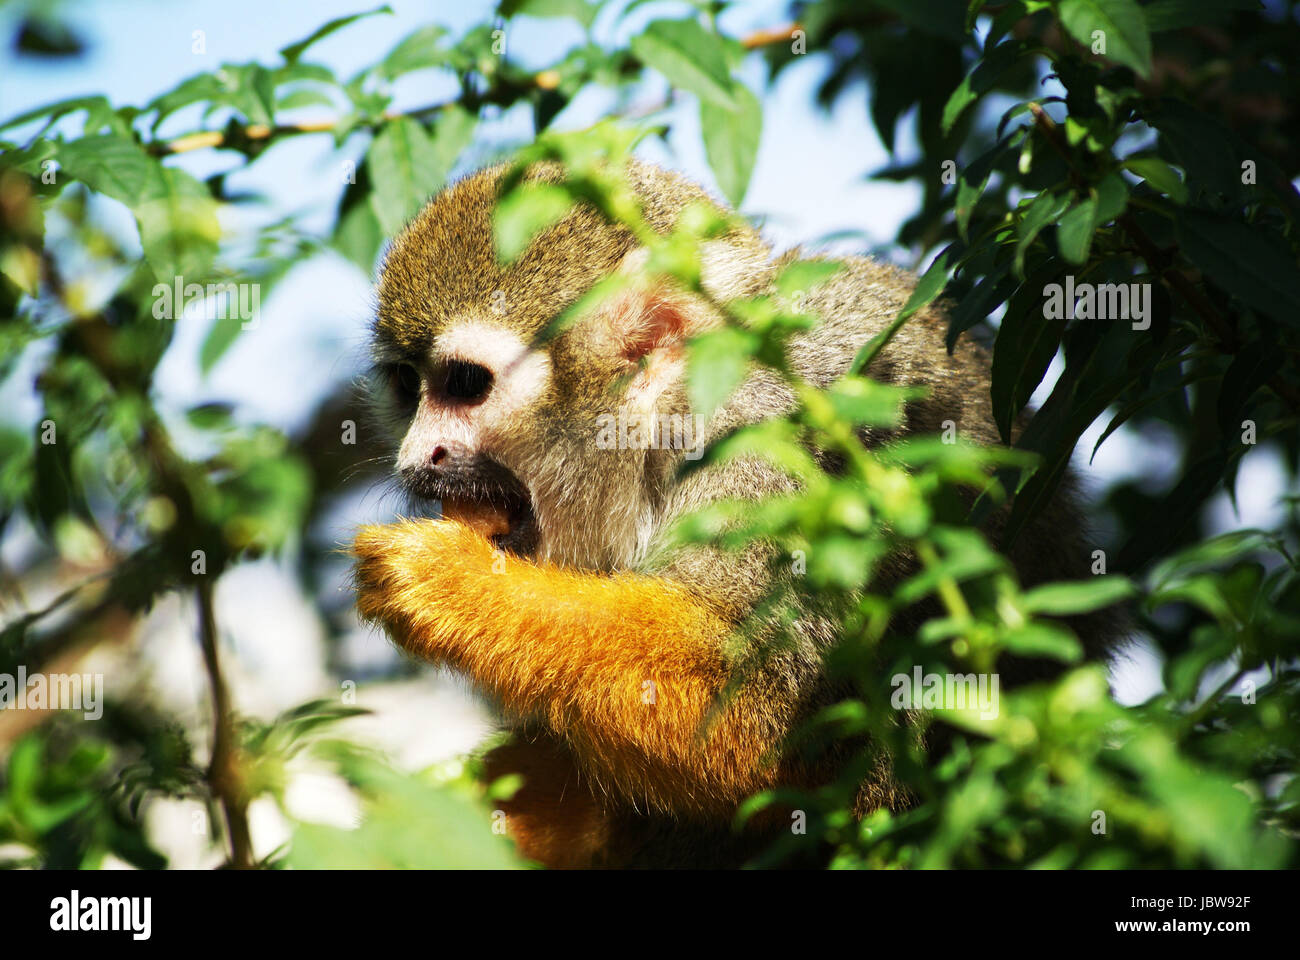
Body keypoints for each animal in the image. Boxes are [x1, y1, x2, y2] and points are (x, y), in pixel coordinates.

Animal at [352, 158, 1121, 868]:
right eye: (408, 387)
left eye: (465, 385)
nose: (419, 456)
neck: (669, 421)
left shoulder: (769, 445)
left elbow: (769, 711)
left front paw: (453, 586)